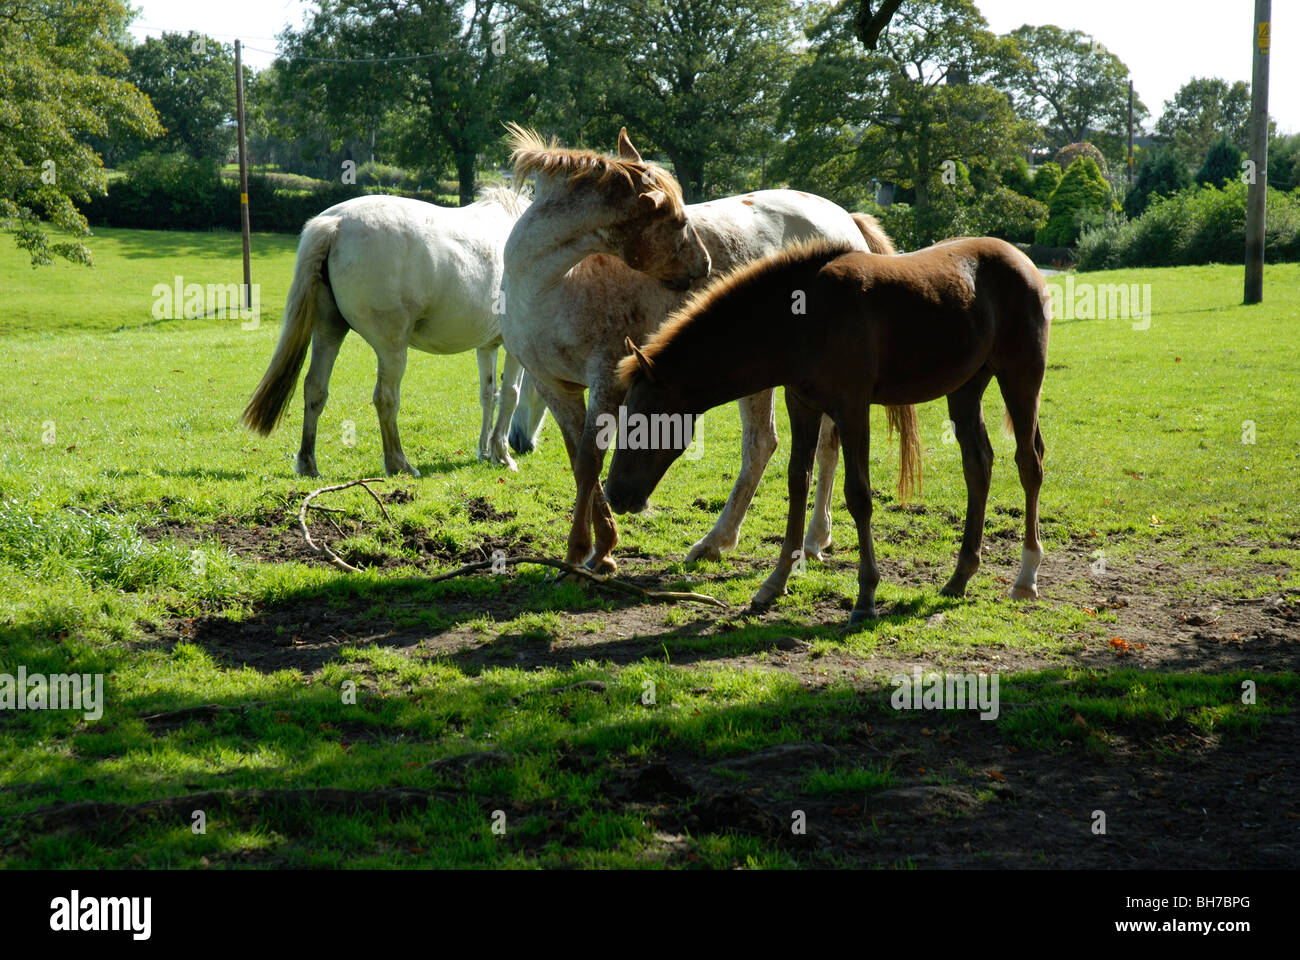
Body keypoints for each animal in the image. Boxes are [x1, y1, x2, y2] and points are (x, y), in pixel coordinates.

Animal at [241, 187, 530, 477]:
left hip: (328, 332)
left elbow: (489, 394)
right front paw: (502, 455)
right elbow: (510, 394)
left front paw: (485, 452)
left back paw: (308, 464)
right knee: (385, 397)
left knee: (315, 388)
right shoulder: (512, 348)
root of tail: (336, 223)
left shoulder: (487, 346)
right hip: (392, 348)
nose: (524, 445)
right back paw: (399, 463)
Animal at [499, 124, 896, 575]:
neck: (547, 285)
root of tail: (848, 221)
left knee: (774, 446)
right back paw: (796, 539)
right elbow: (579, 463)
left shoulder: (606, 381)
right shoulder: (554, 386)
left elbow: (589, 462)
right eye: (675, 220)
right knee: (813, 445)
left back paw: (736, 541)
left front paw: (586, 551)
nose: (704, 268)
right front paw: (599, 547)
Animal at [605, 237, 1051, 627]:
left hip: (1020, 378)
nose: (615, 495)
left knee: (1029, 464)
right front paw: (774, 584)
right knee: (978, 465)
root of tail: (1024, 262)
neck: (800, 319)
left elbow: (859, 495)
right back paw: (960, 576)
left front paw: (866, 597)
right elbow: (797, 483)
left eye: (641, 419)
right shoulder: (802, 405)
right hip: (966, 388)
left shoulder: (852, 409)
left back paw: (1026, 577)